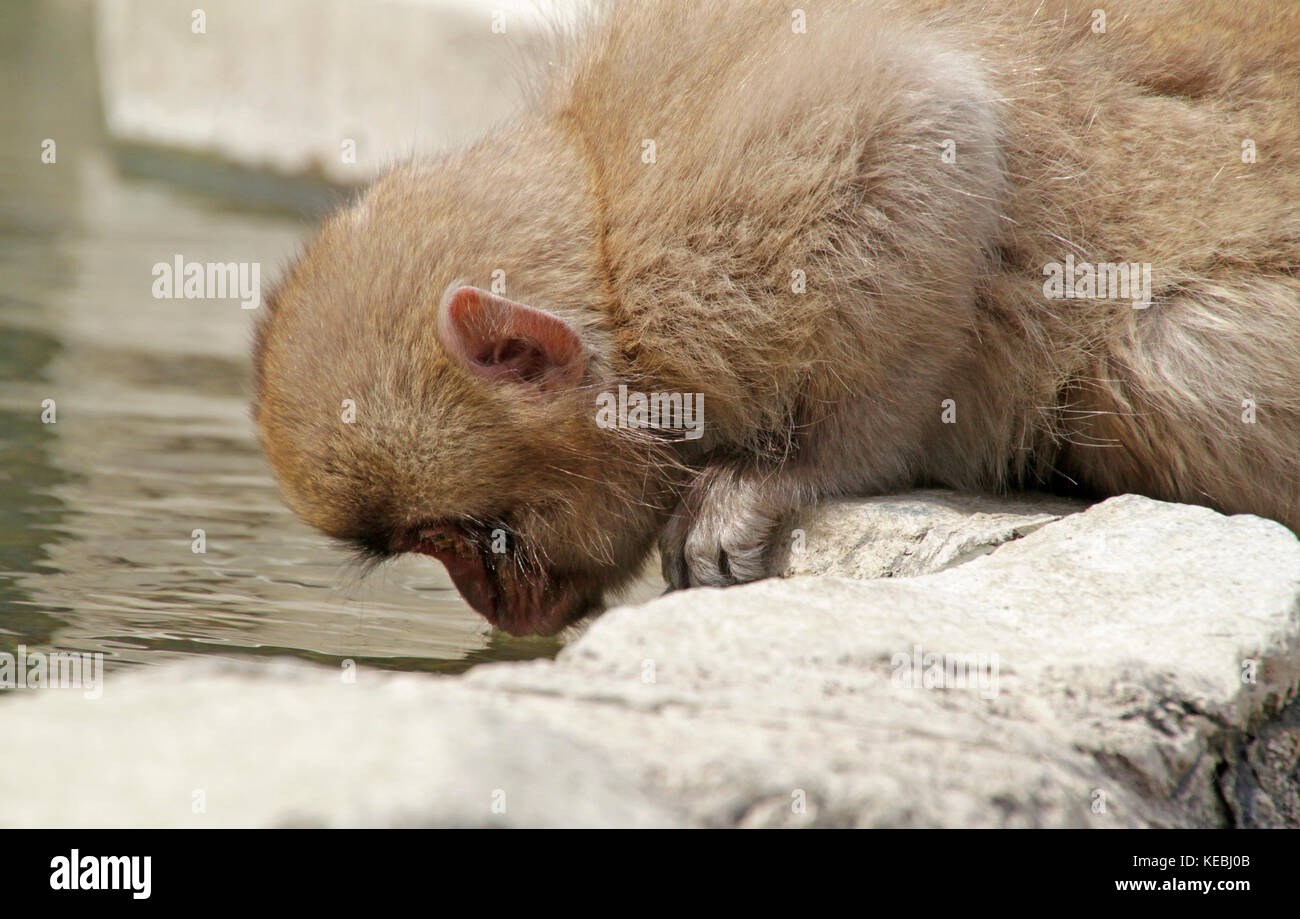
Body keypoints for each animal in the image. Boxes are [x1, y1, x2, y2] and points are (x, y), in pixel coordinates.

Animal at [252, 0, 1300, 636]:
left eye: (474, 542)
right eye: (441, 550)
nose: (495, 606)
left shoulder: (709, 252)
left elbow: (932, 123)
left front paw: (791, 470)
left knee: (1162, 359)